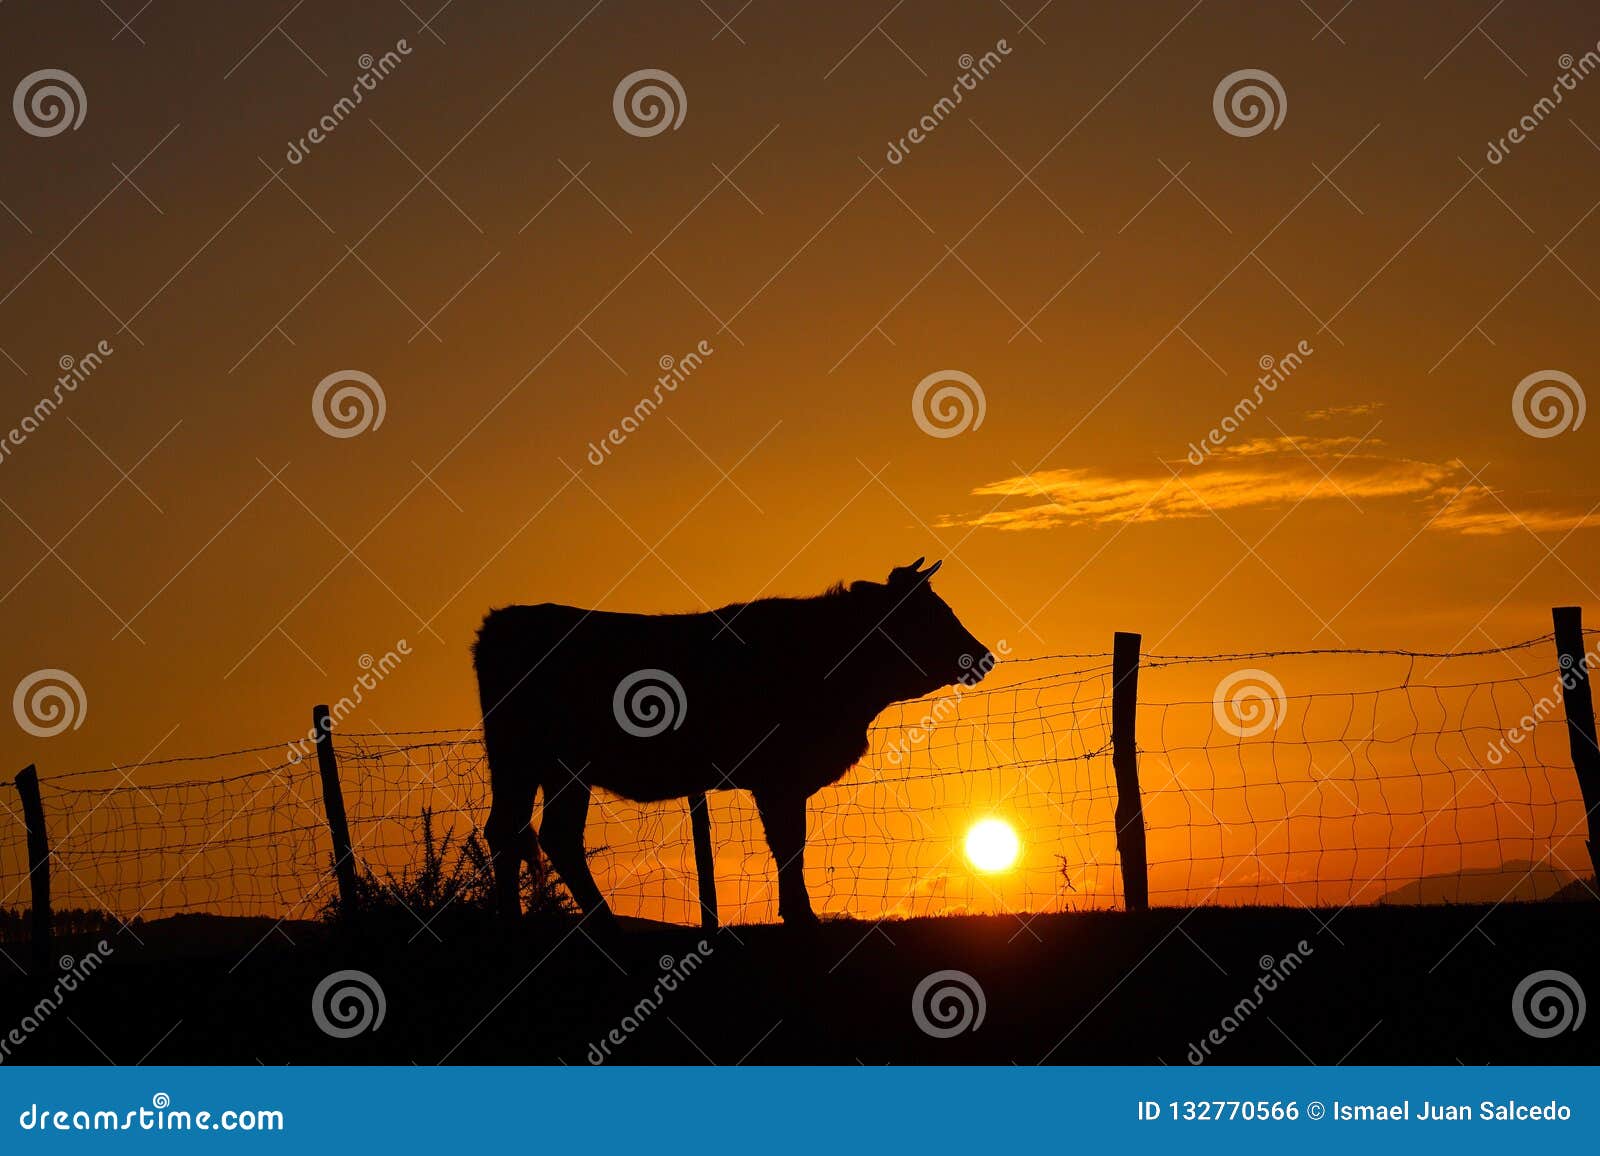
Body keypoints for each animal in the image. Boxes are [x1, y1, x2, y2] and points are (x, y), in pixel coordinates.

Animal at [473, 558, 994, 927]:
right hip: (530, 759)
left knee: (529, 832)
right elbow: (789, 844)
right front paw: (801, 916)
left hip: (545, 766)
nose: (983, 655)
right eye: (932, 614)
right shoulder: (779, 779)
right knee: (529, 832)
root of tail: (501, 622)